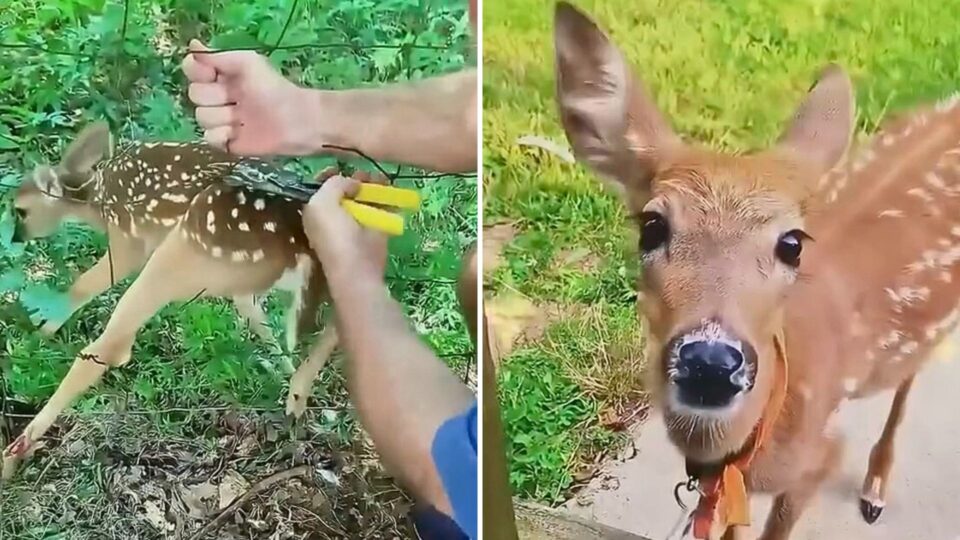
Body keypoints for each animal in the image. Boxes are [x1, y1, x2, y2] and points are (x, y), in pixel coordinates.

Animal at [2, 121, 361, 479]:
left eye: (20, 210)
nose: (16, 237)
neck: (97, 198)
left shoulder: (129, 241)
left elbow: (82, 286)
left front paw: (43, 331)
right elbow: (253, 314)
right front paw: (281, 368)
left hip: (185, 252)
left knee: (109, 345)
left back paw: (14, 453)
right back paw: (297, 392)